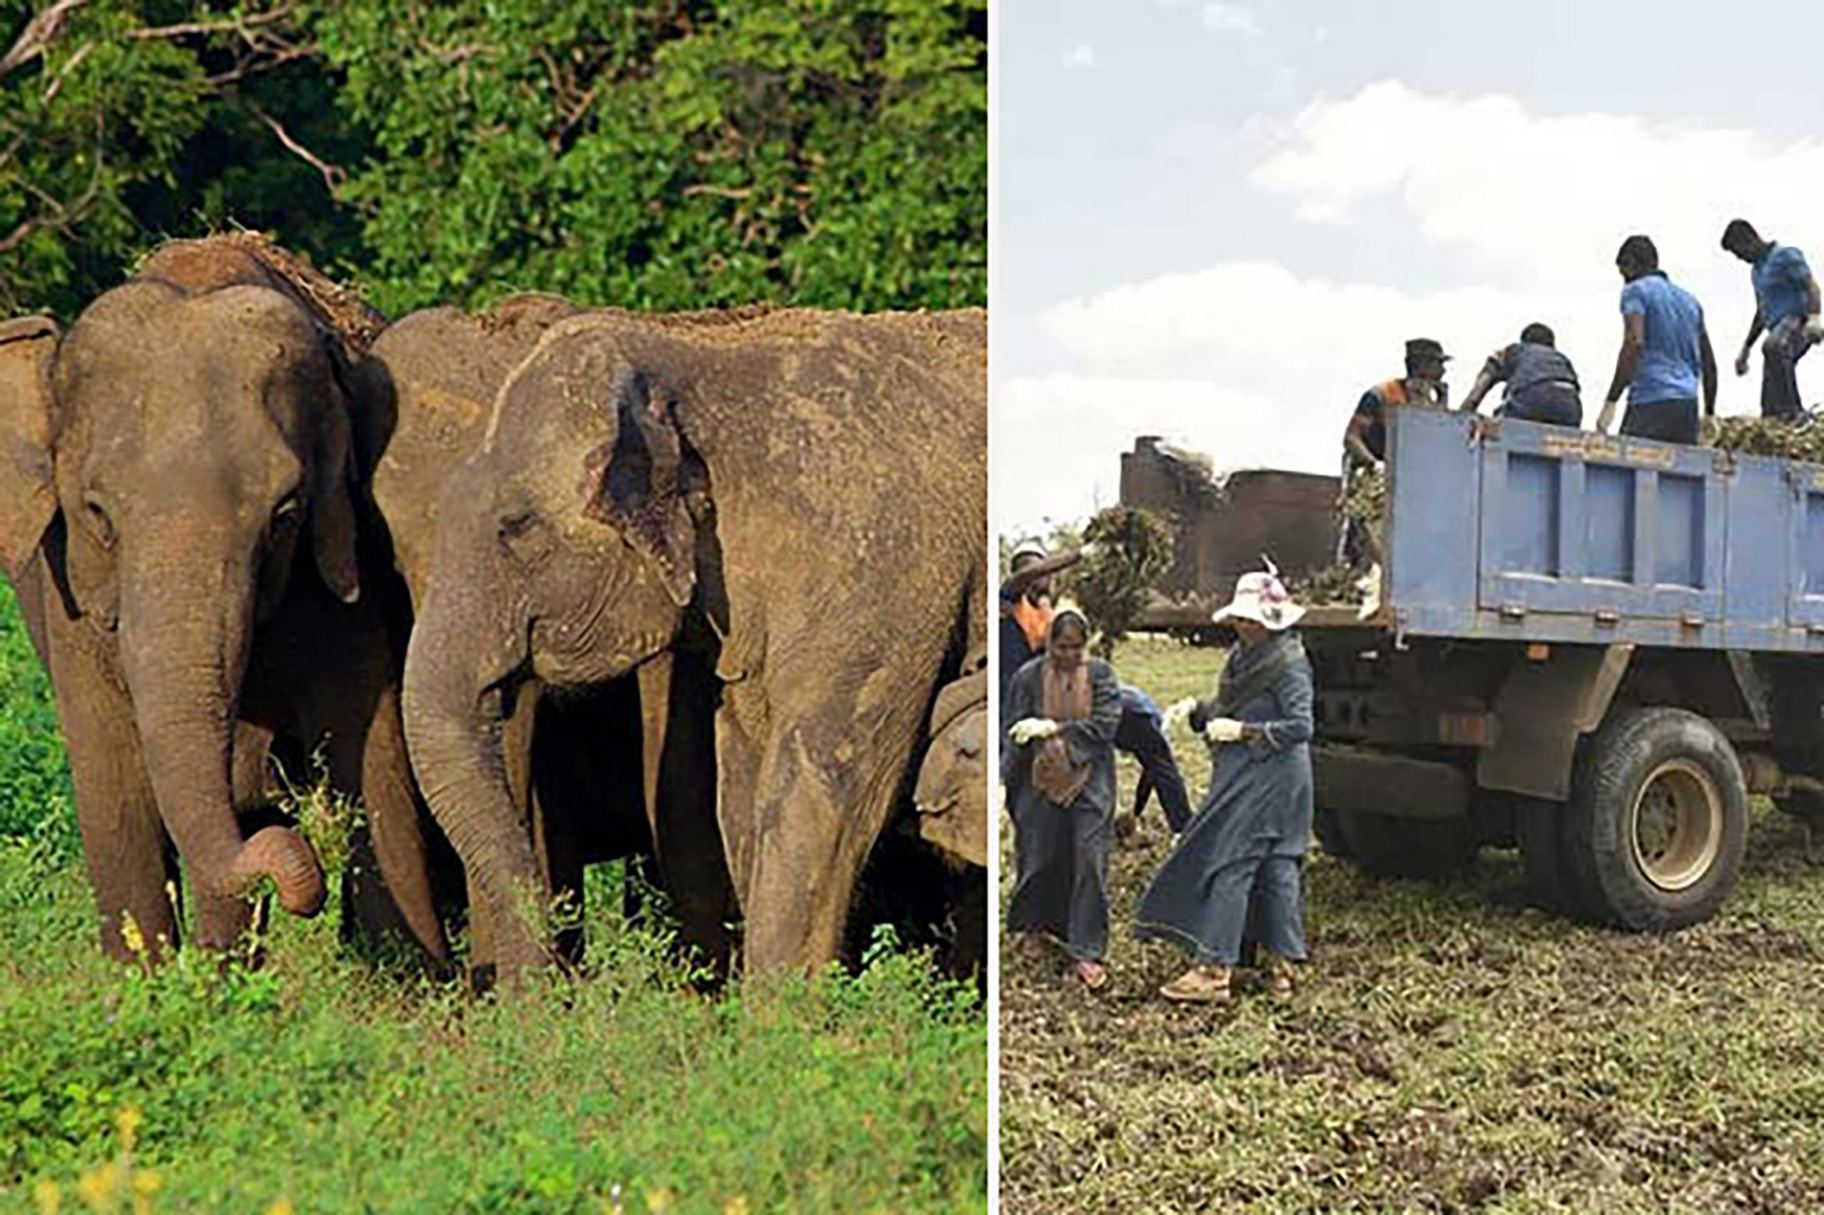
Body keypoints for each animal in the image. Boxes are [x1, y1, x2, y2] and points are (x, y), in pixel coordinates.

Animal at [0, 234, 448, 964]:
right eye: (98, 513)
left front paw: (410, 981)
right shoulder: (65, 590)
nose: (295, 866)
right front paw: (152, 981)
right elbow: (111, 778)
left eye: (285, 514)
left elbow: (372, 751)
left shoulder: (345, 568)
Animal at [399, 305, 987, 979]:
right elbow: (743, 787)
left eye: (515, 528)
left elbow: (828, 795)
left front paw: (784, 1007)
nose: (547, 989)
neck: (704, 361)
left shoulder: (882, 575)